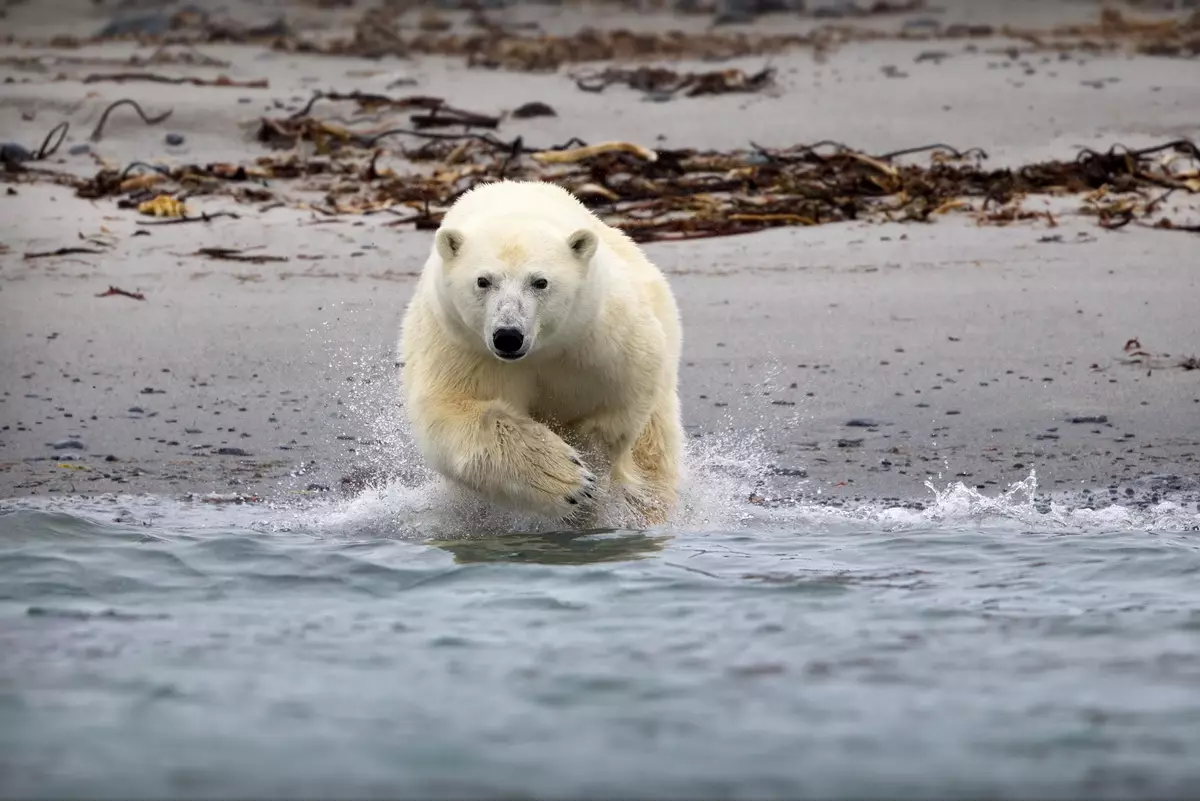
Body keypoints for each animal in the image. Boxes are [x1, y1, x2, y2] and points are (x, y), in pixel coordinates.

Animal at [398, 179, 686, 525]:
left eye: (540, 282)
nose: (508, 336)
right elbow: (452, 409)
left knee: (653, 449)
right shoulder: (463, 345)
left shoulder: (599, 335)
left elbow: (624, 394)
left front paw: (590, 465)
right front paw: (566, 480)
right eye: (483, 280)